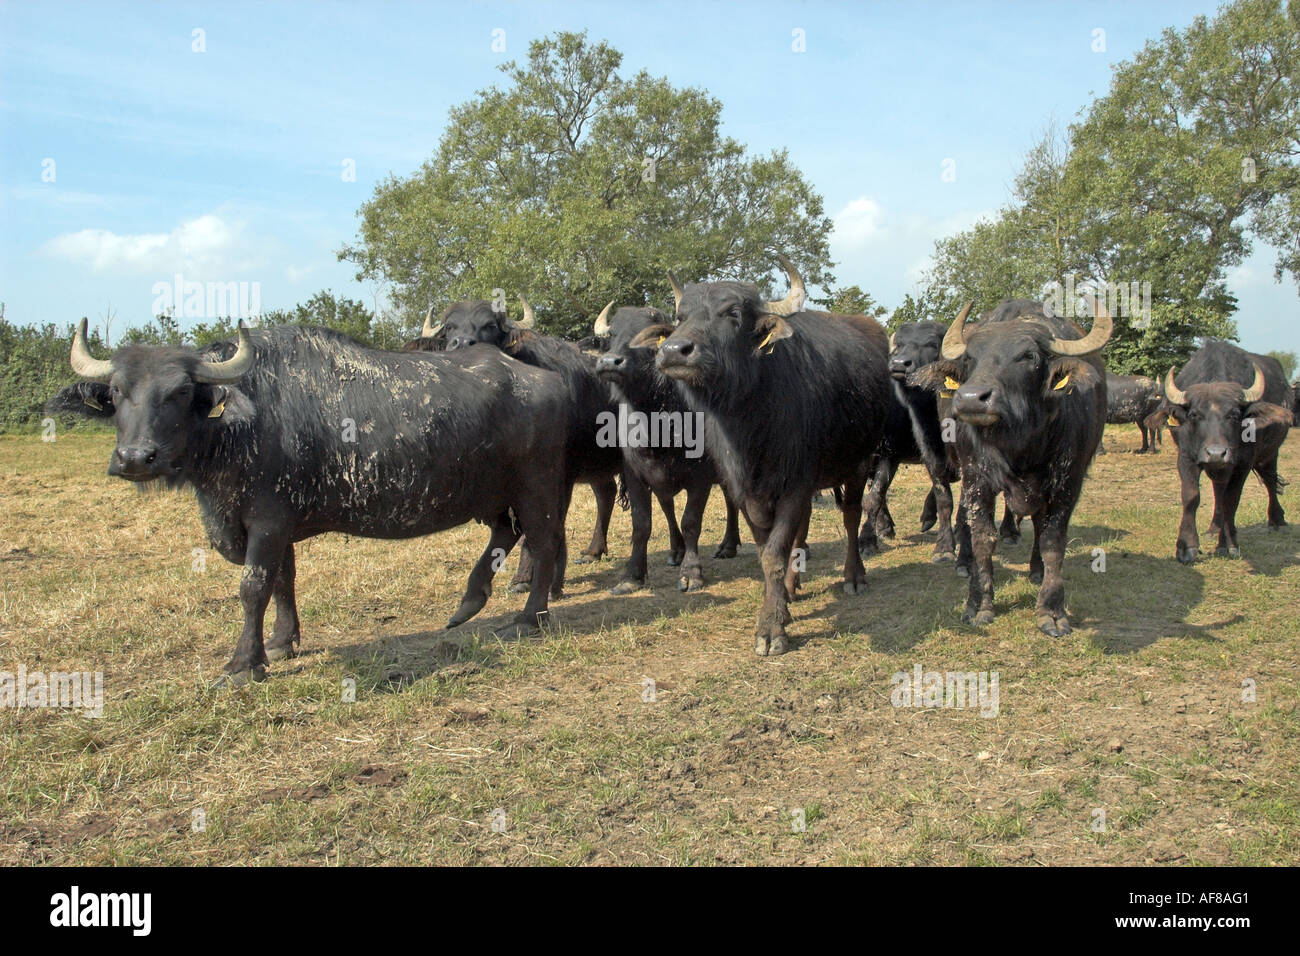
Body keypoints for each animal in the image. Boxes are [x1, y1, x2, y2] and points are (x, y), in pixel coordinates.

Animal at [50, 320, 571, 686]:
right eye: (117, 392)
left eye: (179, 392)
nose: (135, 458)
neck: (242, 424)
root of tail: (546, 380)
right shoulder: (274, 526)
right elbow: (284, 580)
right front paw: (282, 642)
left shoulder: (267, 522)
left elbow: (253, 587)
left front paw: (244, 664)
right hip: (492, 492)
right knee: (506, 532)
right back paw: (468, 603)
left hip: (538, 488)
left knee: (543, 543)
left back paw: (530, 616)